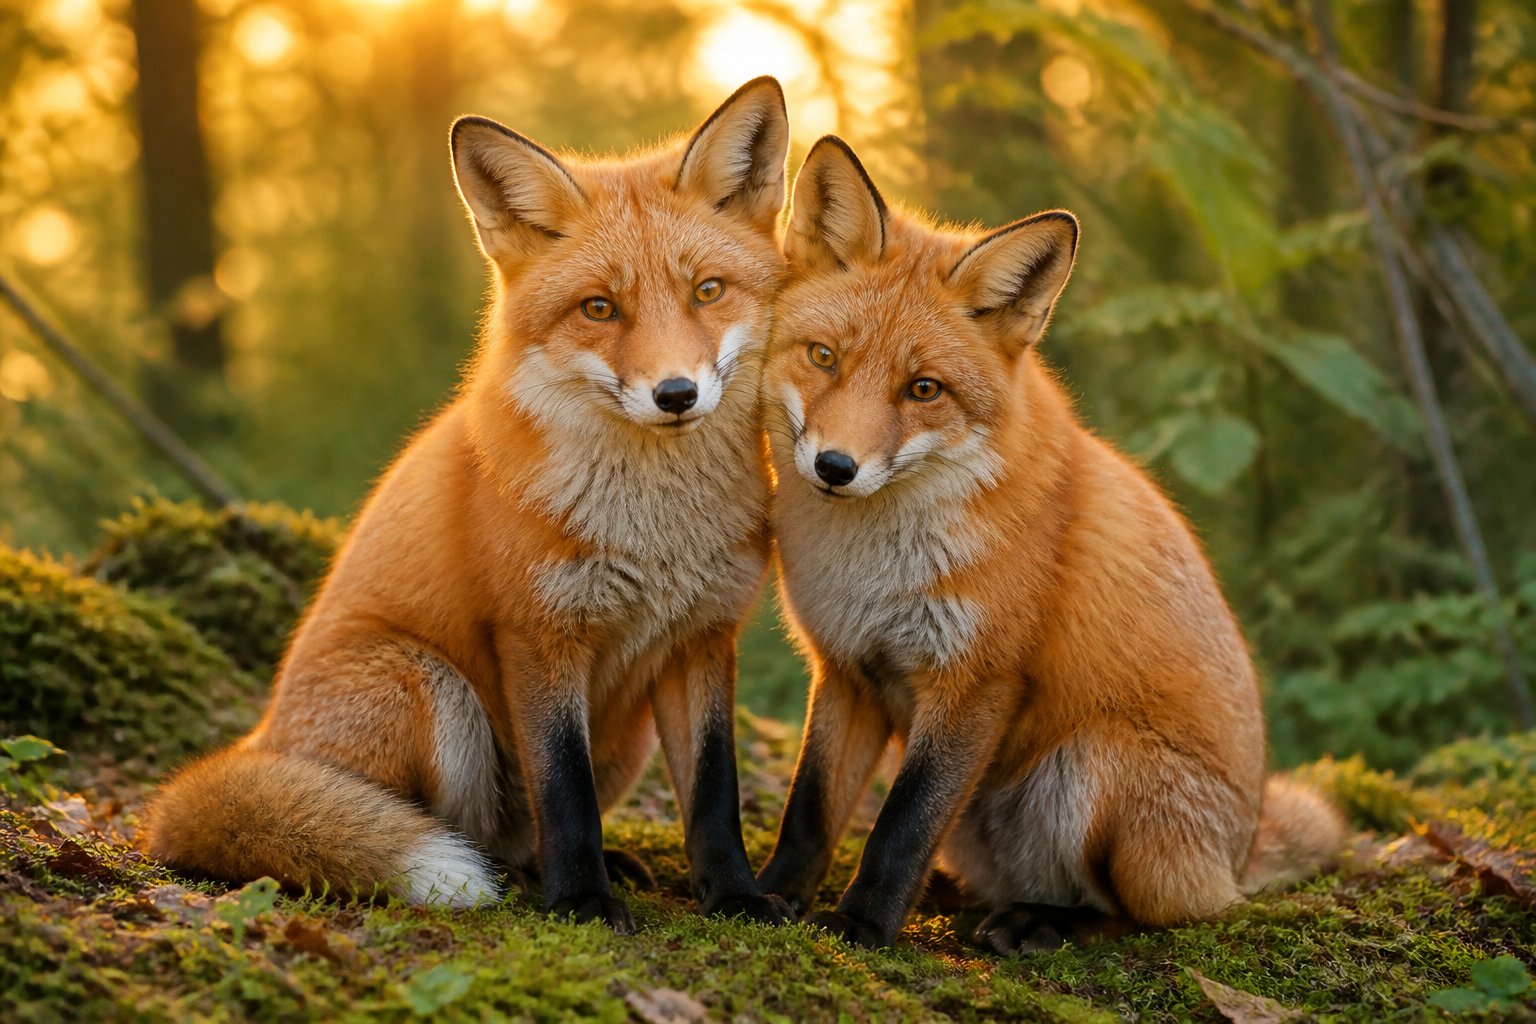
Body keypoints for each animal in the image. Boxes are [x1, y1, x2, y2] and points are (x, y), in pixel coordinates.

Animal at [140, 78, 797, 932]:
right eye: (598, 308)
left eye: (707, 291)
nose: (676, 394)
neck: (656, 530)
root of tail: (260, 738)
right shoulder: (536, 633)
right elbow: (565, 791)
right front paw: (583, 900)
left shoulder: (702, 639)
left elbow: (715, 796)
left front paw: (735, 896)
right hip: (435, 689)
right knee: (443, 826)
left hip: (629, 736)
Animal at [754, 137, 1346, 953]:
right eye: (823, 357)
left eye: (924, 389)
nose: (835, 467)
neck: (872, 564)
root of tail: (1240, 849)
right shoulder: (846, 671)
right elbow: (809, 812)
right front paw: (769, 896)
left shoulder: (978, 681)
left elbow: (902, 825)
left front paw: (863, 925)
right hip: (988, 821)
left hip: (1097, 772)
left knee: (1150, 914)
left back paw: (1041, 921)